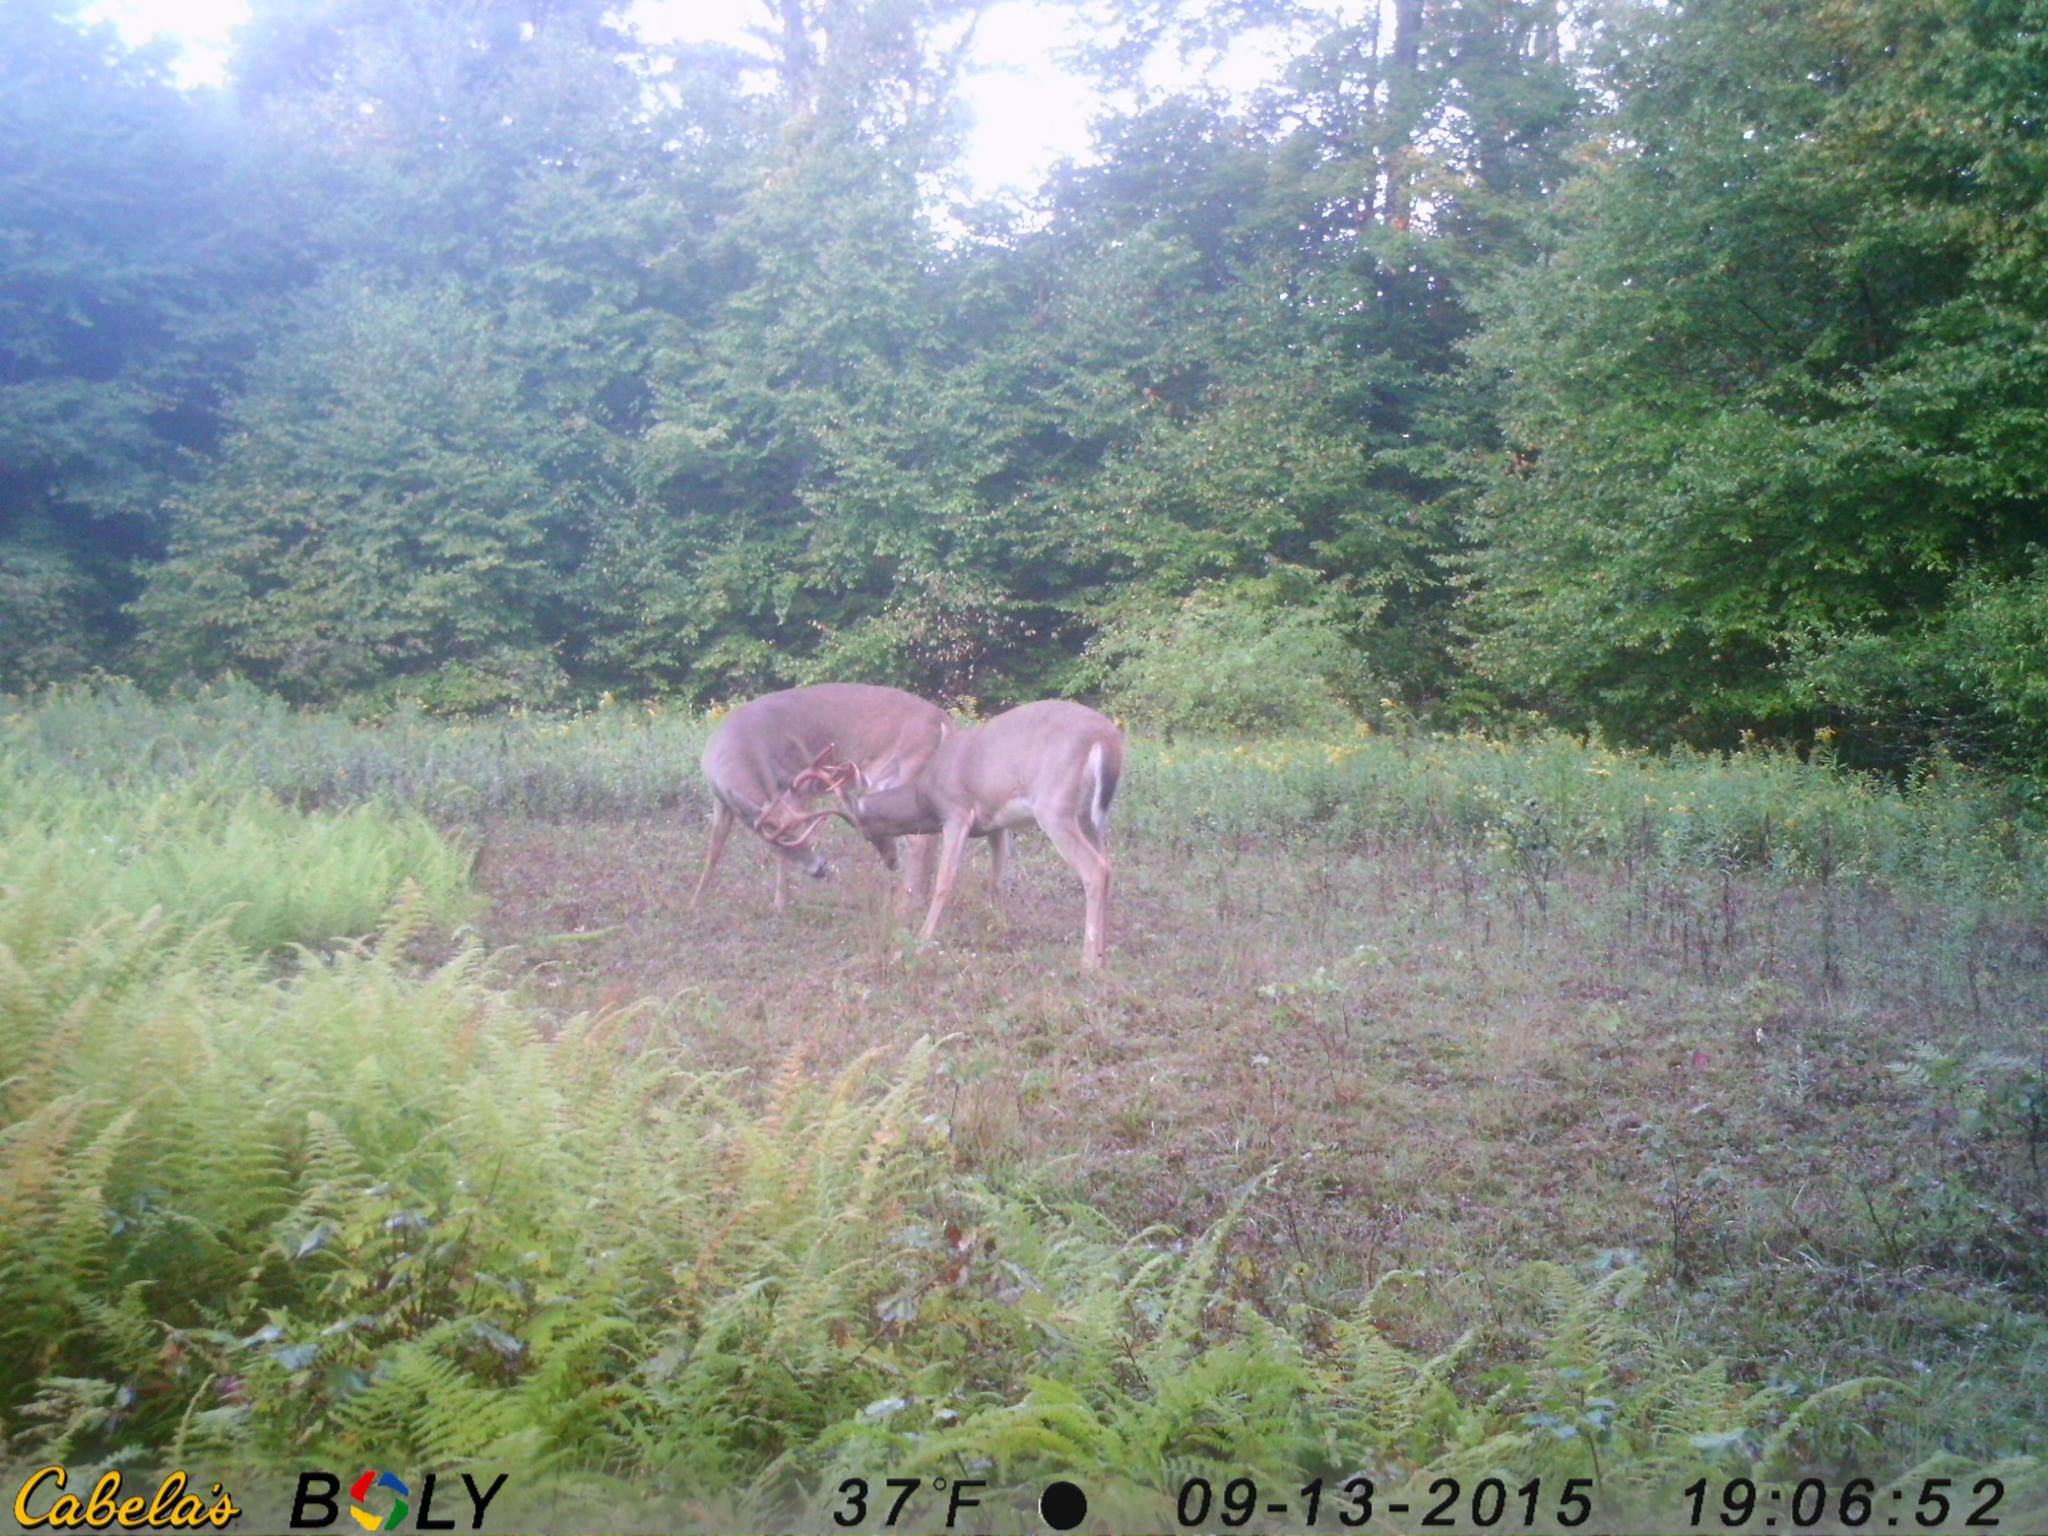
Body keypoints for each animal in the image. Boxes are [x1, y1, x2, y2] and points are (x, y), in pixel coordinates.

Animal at [690, 683, 951, 913]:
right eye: (775, 841)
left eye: (798, 835)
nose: (820, 869)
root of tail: (945, 721)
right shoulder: (722, 799)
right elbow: (715, 846)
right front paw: (697, 900)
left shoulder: (796, 785)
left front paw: (780, 904)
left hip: (907, 771)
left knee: (919, 840)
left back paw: (906, 906)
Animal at [781, 700, 1125, 968]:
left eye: (866, 832)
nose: (890, 861)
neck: (925, 795)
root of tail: (1107, 739)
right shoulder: (994, 822)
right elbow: (996, 878)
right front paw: (999, 927)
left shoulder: (957, 812)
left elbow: (944, 880)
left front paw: (922, 939)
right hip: (1091, 818)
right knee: (1109, 866)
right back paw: (1102, 954)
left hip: (1055, 807)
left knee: (1094, 869)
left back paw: (1088, 963)